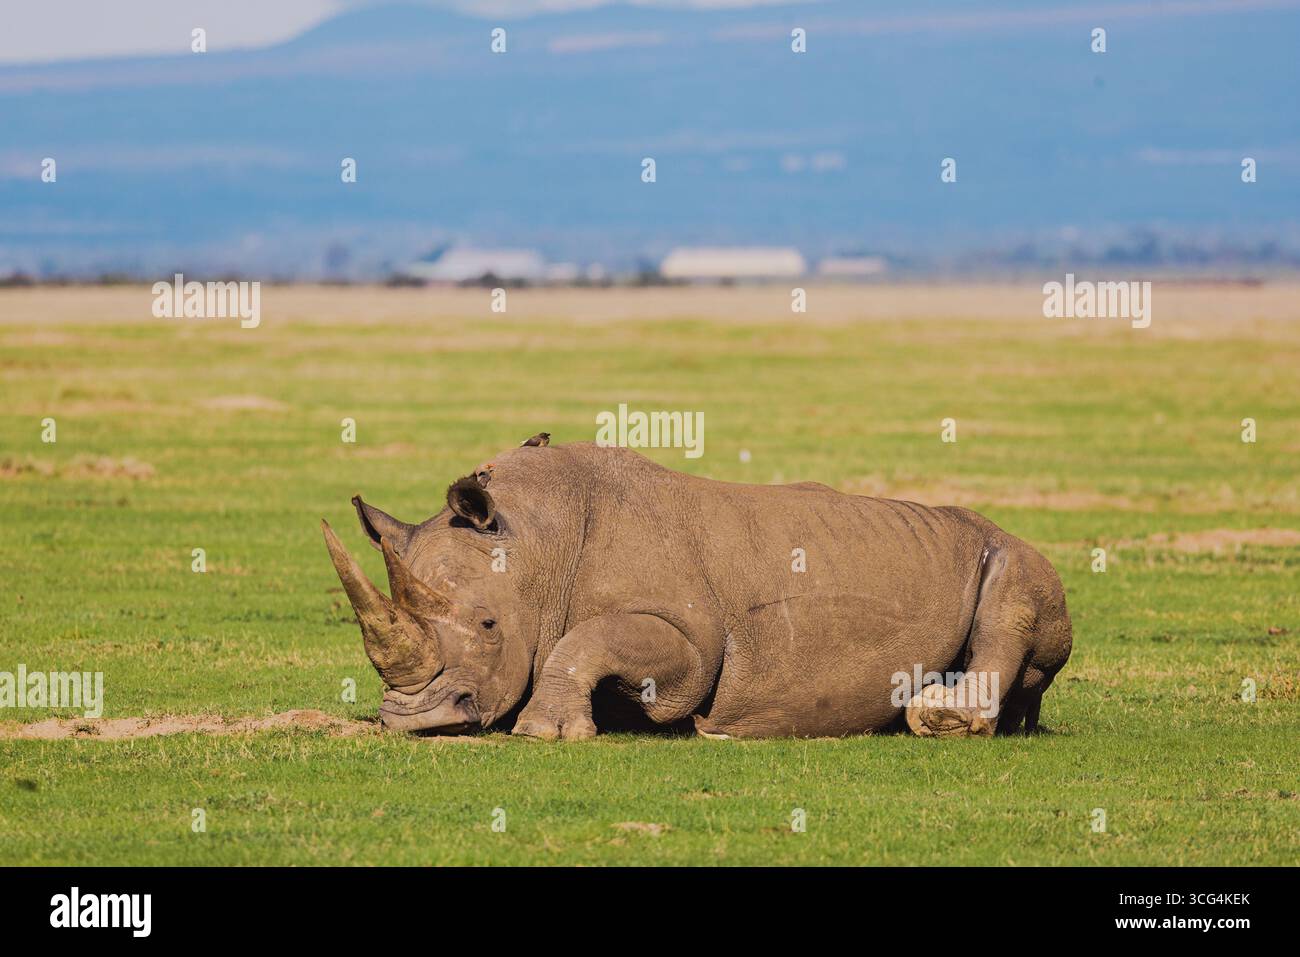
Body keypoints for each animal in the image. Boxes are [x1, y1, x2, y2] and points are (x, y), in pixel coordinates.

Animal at [322, 440, 1071, 740]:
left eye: (486, 626)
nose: (417, 720)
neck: (536, 537)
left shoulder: (688, 645)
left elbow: (590, 639)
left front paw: (545, 731)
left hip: (1014, 551)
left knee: (1013, 590)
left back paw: (943, 721)